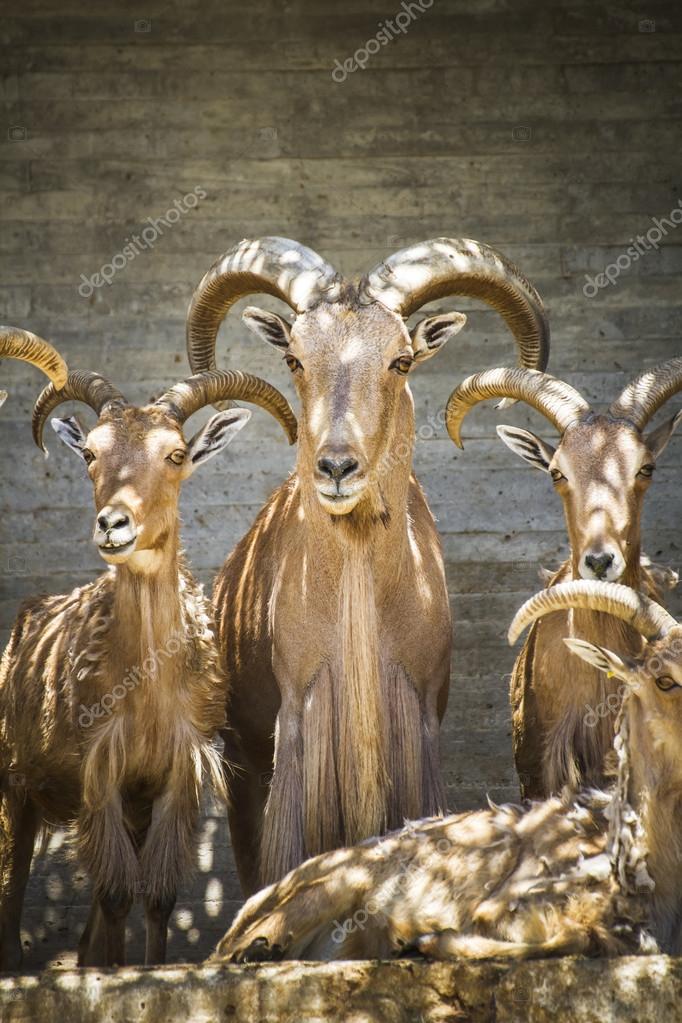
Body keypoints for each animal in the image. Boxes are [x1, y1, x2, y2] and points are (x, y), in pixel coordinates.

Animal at [0, 348, 297, 968]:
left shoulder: (172, 774)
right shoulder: (99, 767)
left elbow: (156, 896)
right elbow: (116, 895)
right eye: (91, 453)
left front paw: (148, 966)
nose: (114, 524)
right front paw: (114, 972)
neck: (143, 684)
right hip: (13, 781)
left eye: (176, 454)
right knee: (11, 895)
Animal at [185, 236, 550, 892]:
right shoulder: (296, 725)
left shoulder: (419, 720)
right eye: (295, 360)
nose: (336, 467)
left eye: (401, 361)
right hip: (244, 763)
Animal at [213, 579, 682, 963]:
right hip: (335, 886)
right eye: (664, 679)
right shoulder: (513, 902)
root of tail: (255, 902)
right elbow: (572, 936)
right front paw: (425, 939)